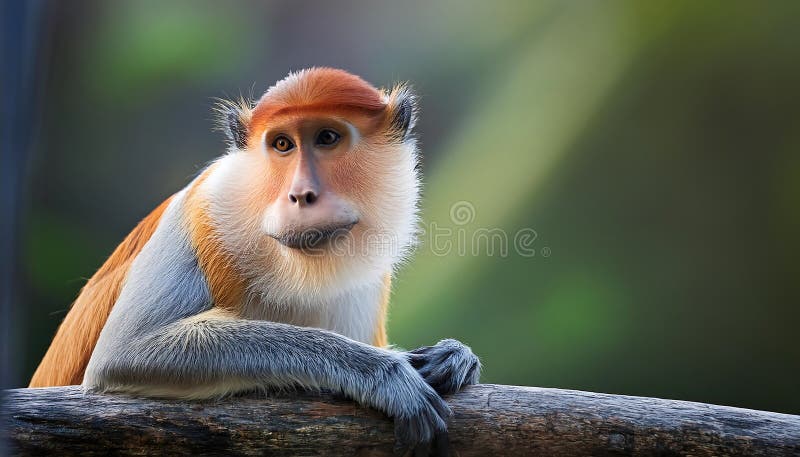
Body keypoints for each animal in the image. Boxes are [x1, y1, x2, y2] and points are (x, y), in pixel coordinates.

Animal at [29, 68, 480, 454]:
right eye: (283, 144)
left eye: (327, 137)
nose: (300, 194)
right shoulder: (207, 208)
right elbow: (126, 353)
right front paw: (381, 373)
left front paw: (454, 357)